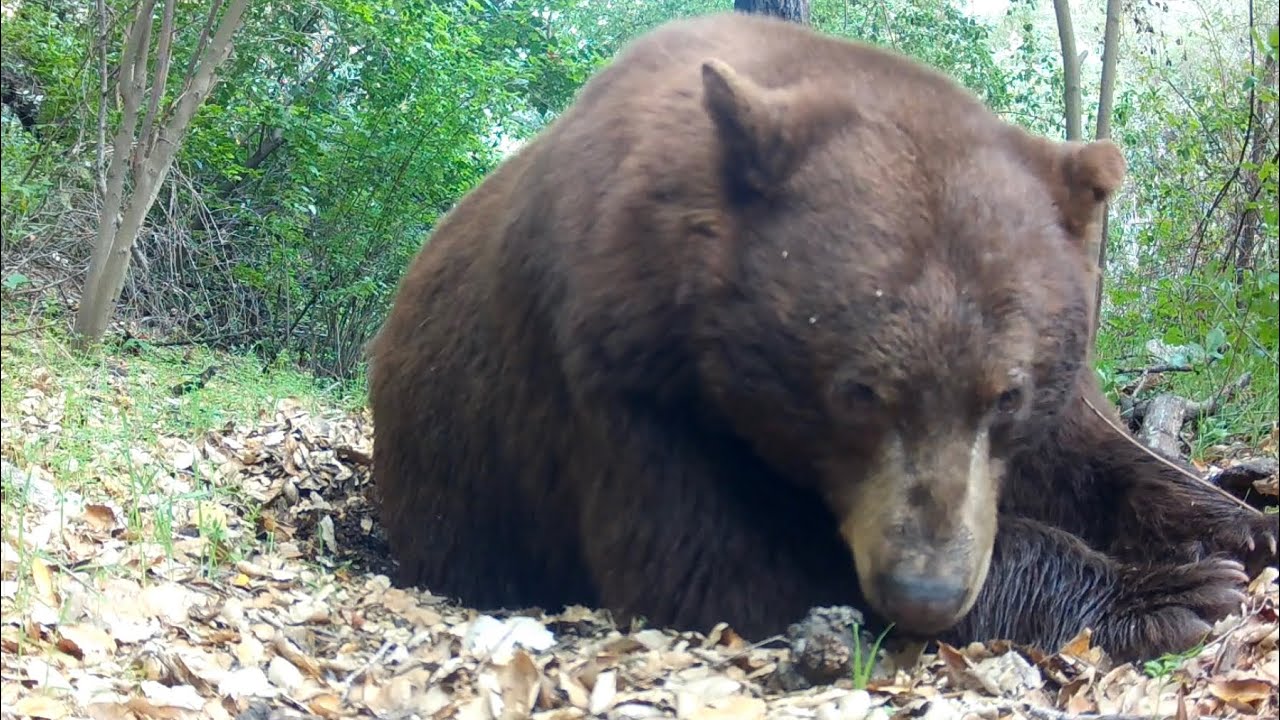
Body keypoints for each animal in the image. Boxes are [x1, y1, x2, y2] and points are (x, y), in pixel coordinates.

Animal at [367, 11, 1277, 664]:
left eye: (1007, 395)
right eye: (858, 391)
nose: (925, 592)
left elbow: (1096, 459)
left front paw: (1243, 527)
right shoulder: (617, 372)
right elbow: (720, 564)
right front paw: (1171, 591)